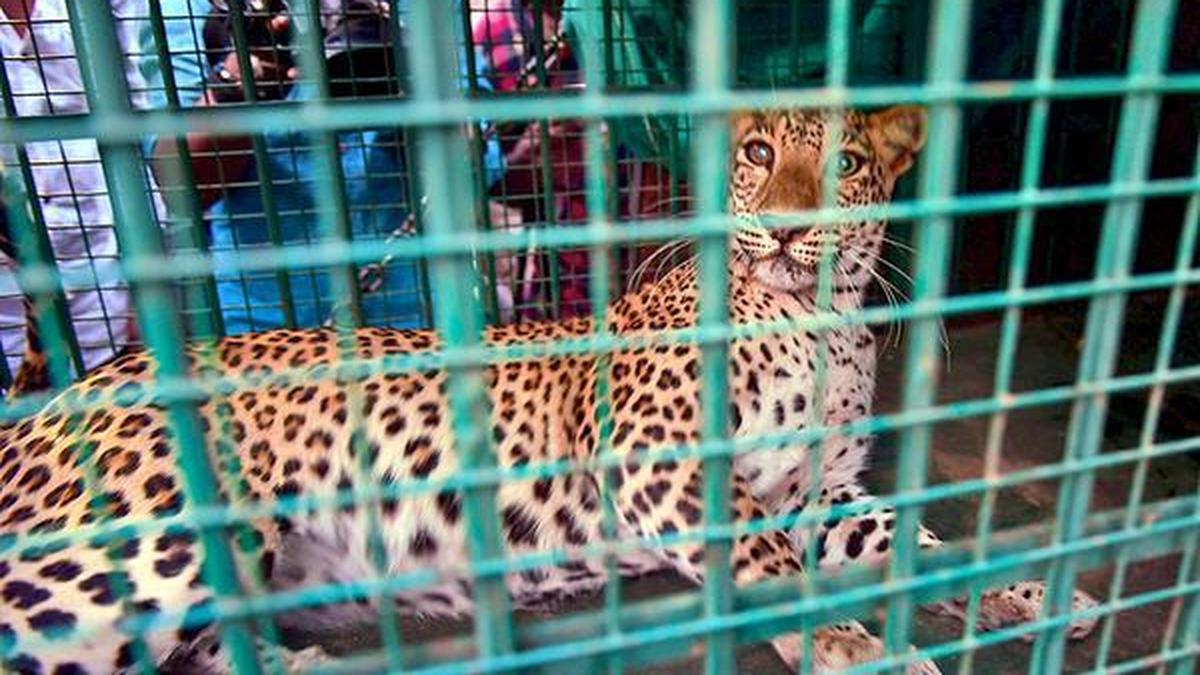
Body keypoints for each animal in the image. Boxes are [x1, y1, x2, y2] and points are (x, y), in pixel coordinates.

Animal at [0, 105, 1099, 674]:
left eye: (852, 163)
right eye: (757, 154)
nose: (791, 228)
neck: (819, 318)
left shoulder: (816, 491)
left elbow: (911, 540)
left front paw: (1035, 588)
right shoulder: (661, 465)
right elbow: (770, 565)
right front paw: (841, 641)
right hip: (147, 547)